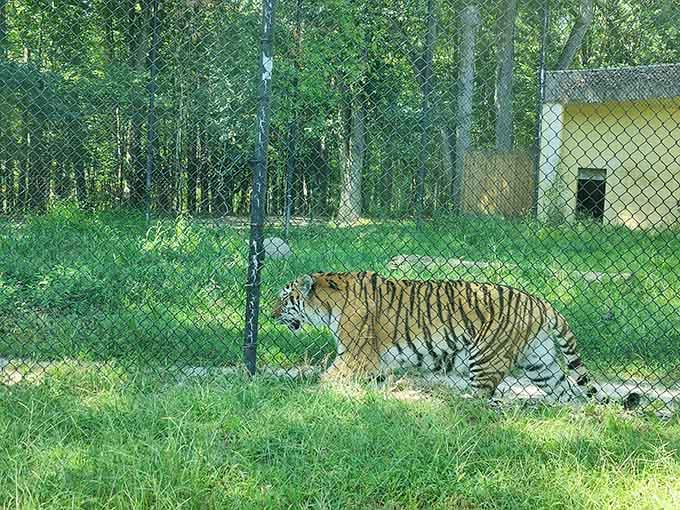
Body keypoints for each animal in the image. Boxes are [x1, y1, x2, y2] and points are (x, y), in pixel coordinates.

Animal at [271, 271, 641, 409]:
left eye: (284, 298)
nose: (271, 315)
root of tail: (541, 302)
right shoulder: (372, 361)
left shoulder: (355, 354)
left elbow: (326, 377)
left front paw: (307, 395)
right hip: (541, 364)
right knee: (569, 395)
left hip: (485, 355)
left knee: (481, 398)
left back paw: (456, 402)